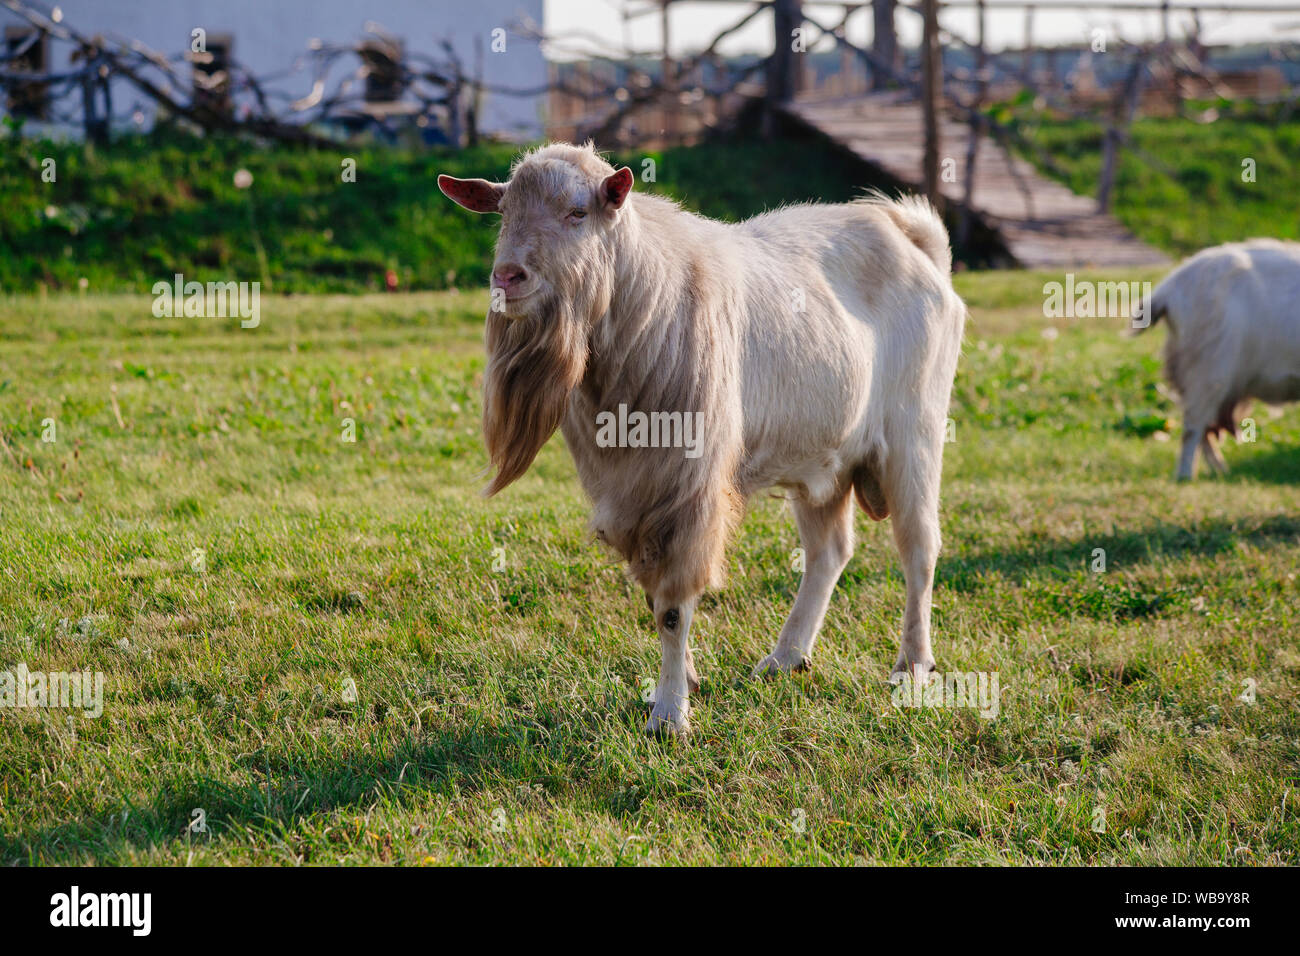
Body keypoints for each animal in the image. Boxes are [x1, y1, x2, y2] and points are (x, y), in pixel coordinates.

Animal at [439, 142, 966, 734]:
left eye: (578, 212)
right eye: (503, 213)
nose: (508, 276)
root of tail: (914, 240)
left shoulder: (686, 486)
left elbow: (672, 606)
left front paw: (669, 714)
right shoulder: (632, 488)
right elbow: (655, 597)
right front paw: (683, 684)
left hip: (916, 434)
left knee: (919, 548)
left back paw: (913, 665)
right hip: (823, 461)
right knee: (828, 552)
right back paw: (786, 657)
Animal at [1133, 239, 1300, 480]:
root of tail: (1168, 290)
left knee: (1204, 430)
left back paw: (1220, 470)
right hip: (1206, 371)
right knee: (1192, 429)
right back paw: (1186, 476)